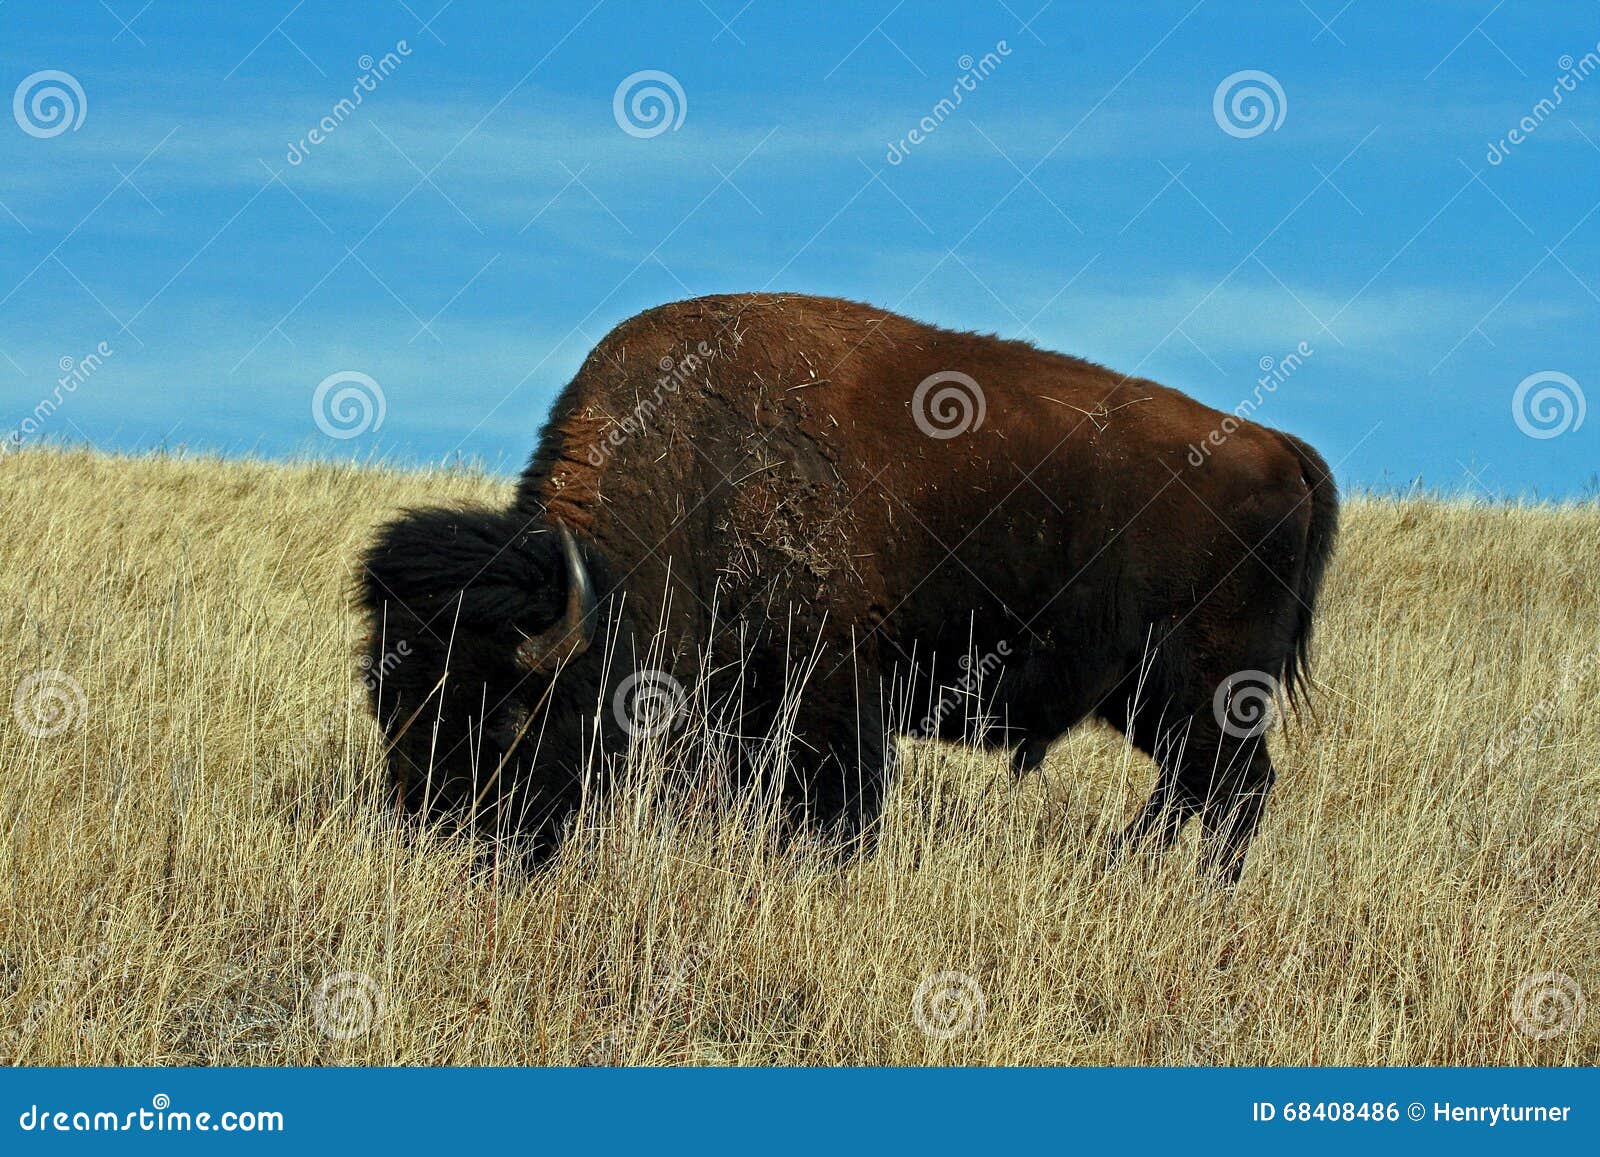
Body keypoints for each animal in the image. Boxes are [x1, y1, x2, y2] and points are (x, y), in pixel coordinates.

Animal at [358, 293, 1337, 882]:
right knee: (1198, 785)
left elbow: (841, 798)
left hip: (1206, 685)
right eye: (389, 704)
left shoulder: (831, 686)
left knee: (1230, 787)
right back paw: (1128, 868)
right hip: (1147, 696)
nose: (435, 838)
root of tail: (1281, 448)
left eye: (506, 716)